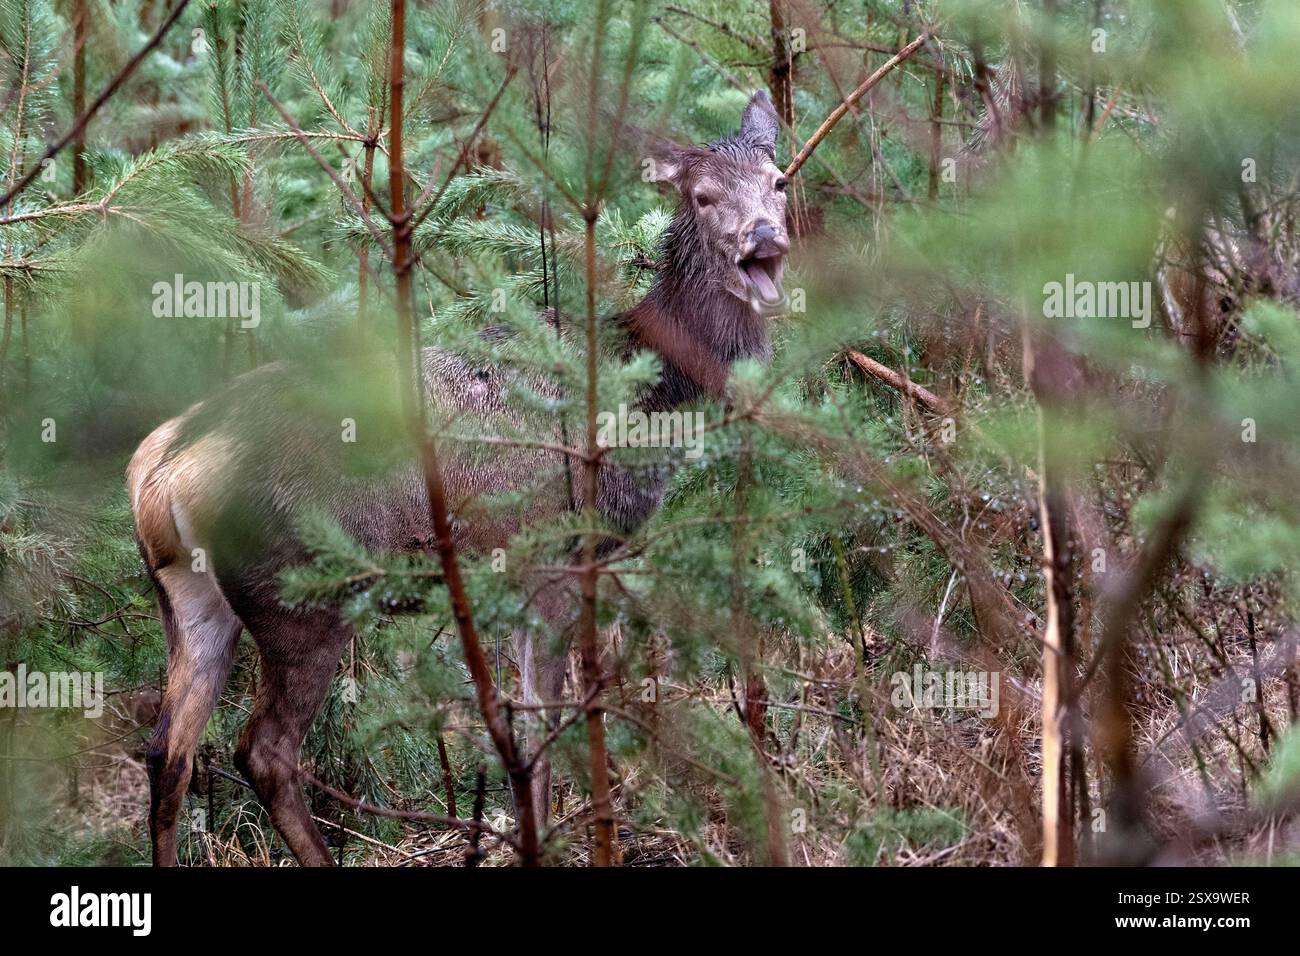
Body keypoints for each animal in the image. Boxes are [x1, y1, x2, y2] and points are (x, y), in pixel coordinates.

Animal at [128, 90, 789, 866]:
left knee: (166, 750)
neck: (646, 395)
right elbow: (540, 725)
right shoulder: (551, 555)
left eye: (779, 181)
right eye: (702, 195)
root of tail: (160, 471)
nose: (764, 240)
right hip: (300, 595)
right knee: (261, 750)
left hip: (191, 596)